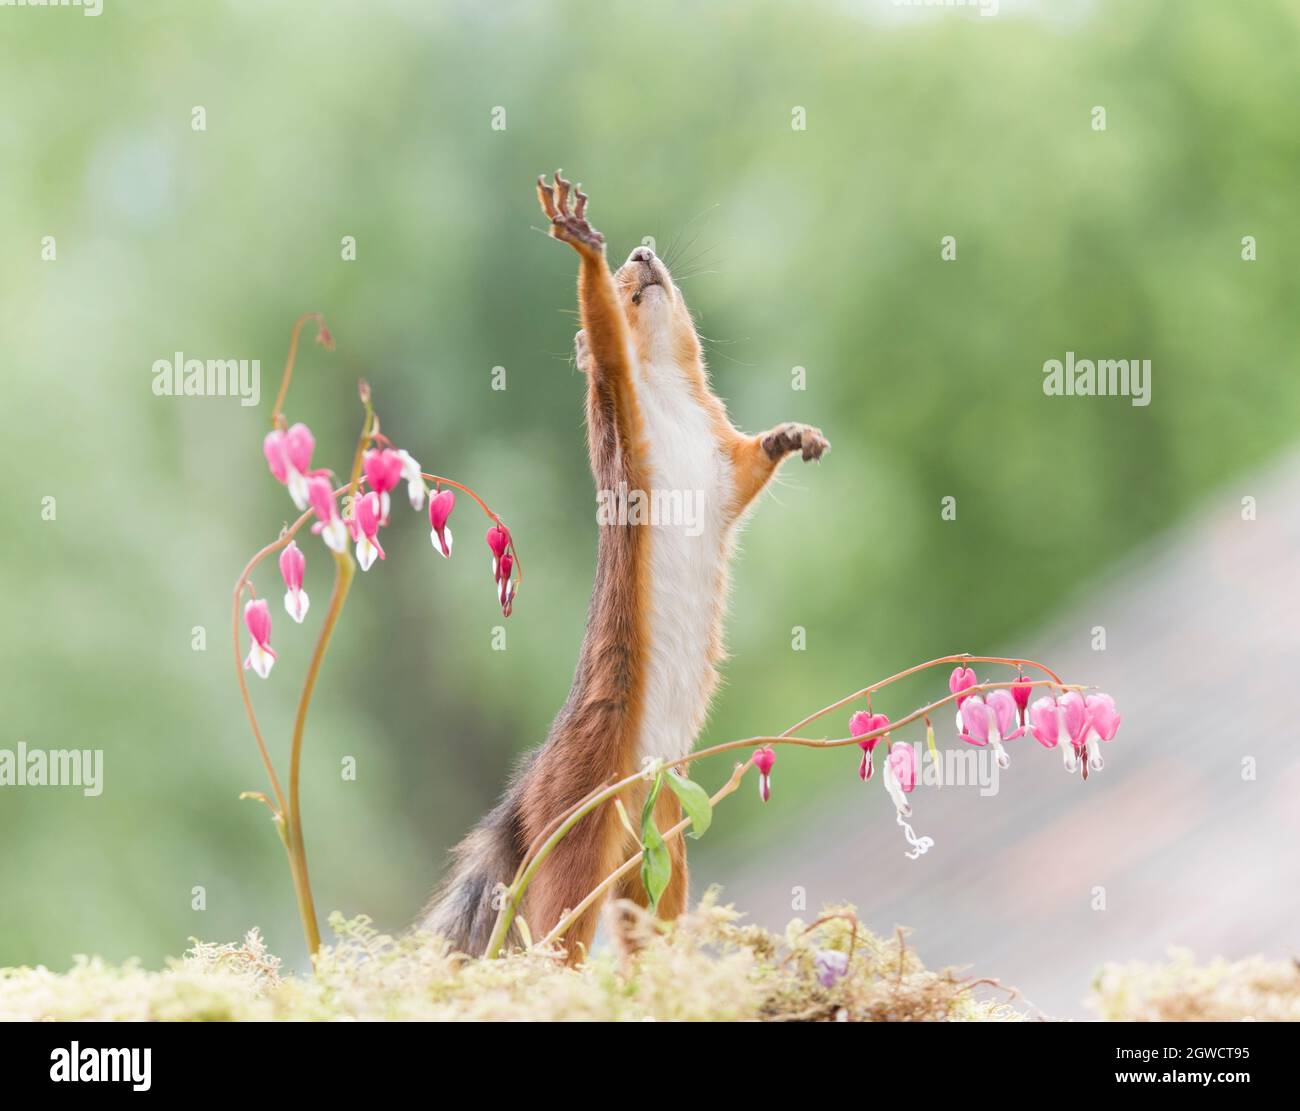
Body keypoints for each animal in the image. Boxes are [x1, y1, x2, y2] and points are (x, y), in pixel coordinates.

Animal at [422, 172, 828, 959]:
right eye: (621, 280)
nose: (641, 253)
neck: (668, 391)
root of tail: (529, 790)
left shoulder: (720, 464)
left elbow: (749, 465)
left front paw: (792, 435)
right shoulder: (623, 424)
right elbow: (606, 341)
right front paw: (580, 239)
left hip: (660, 841)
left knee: (648, 922)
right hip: (576, 826)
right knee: (555, 931)